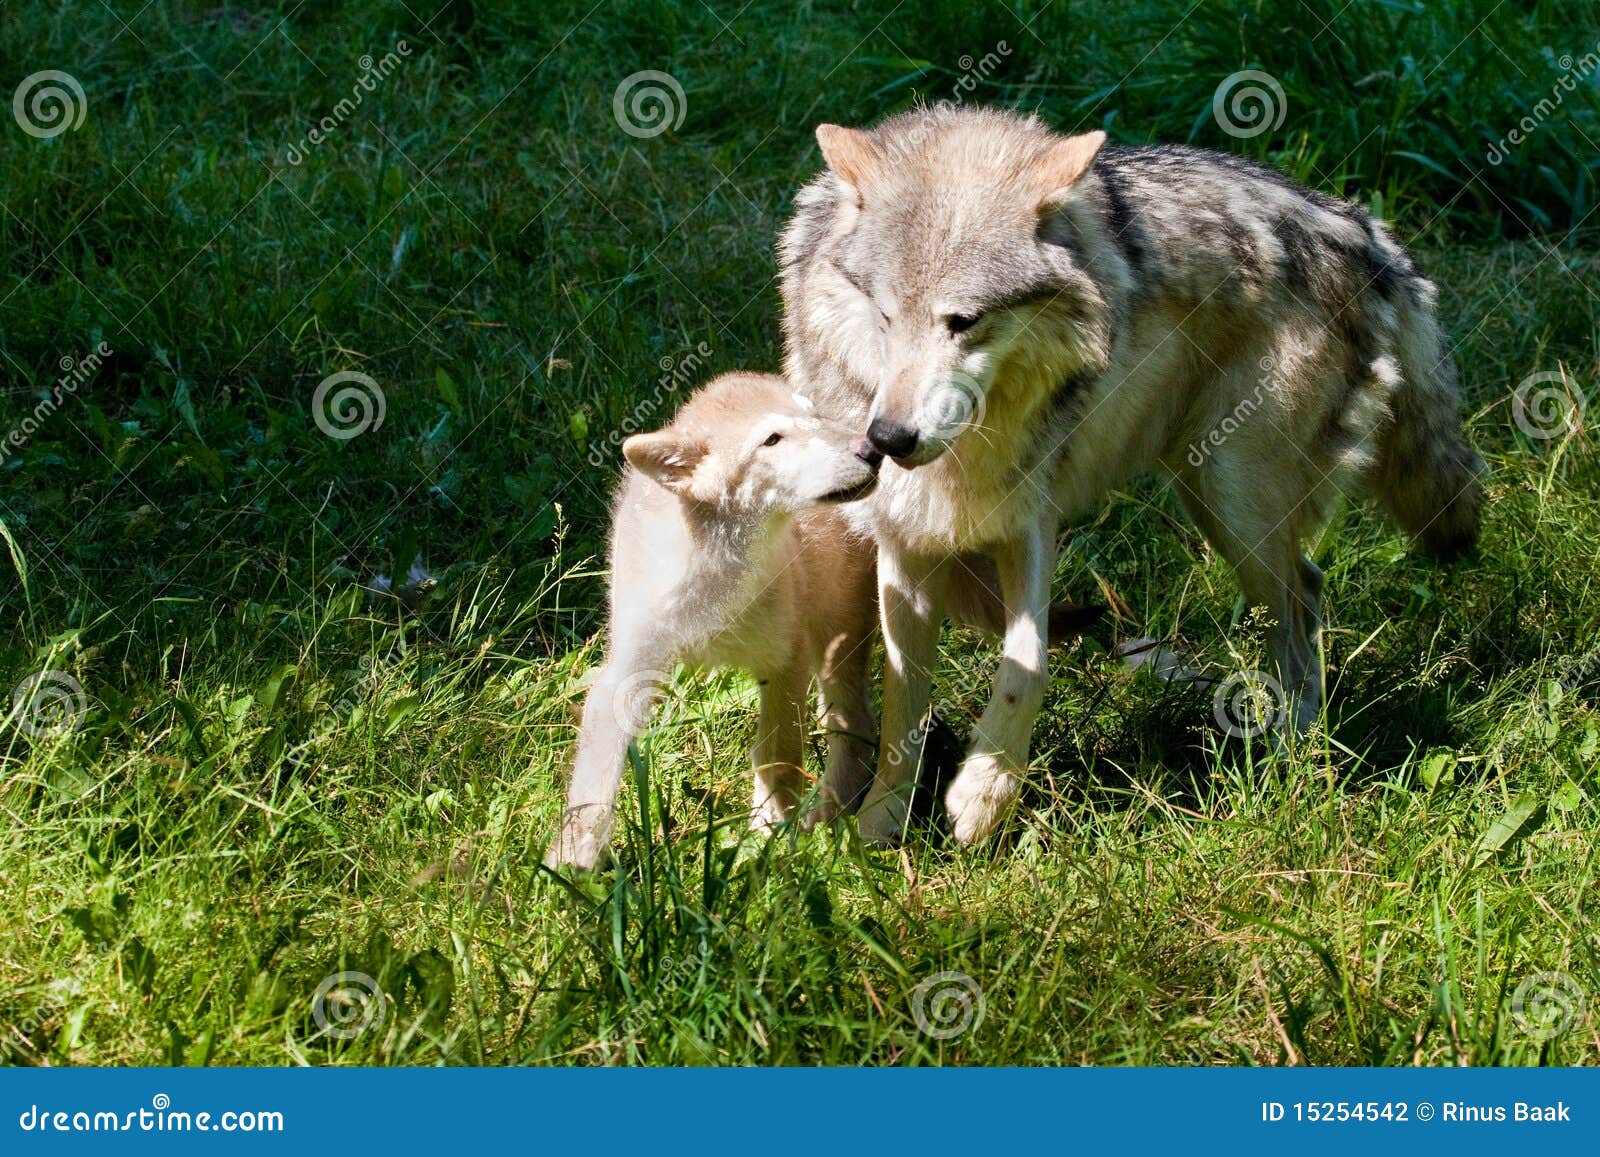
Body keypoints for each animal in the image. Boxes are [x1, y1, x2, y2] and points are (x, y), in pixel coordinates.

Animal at [546, 370, 1102, 870]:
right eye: (772, 439)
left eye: (813, 416)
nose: (871, 451)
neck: (718, 580)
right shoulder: (625, 671)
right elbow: (595, 775)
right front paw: (575, 860)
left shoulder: (784, 662)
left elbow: (775, 755)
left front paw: (768, 834)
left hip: (835, 641)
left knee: (855, 727)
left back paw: (829, 819)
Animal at [779, 104, 1482, 847]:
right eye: (885, 316)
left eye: (963, 321)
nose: (887, 439)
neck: (974, 443)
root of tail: (1369, 234)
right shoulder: (908, 542)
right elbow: (901, 701)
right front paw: (879, 825)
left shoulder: (1030, 525)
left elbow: (1026, 668)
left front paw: (981, 797)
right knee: (1308, 592)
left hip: (1227, 495)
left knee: (1301, 605)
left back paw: (1289, 753)